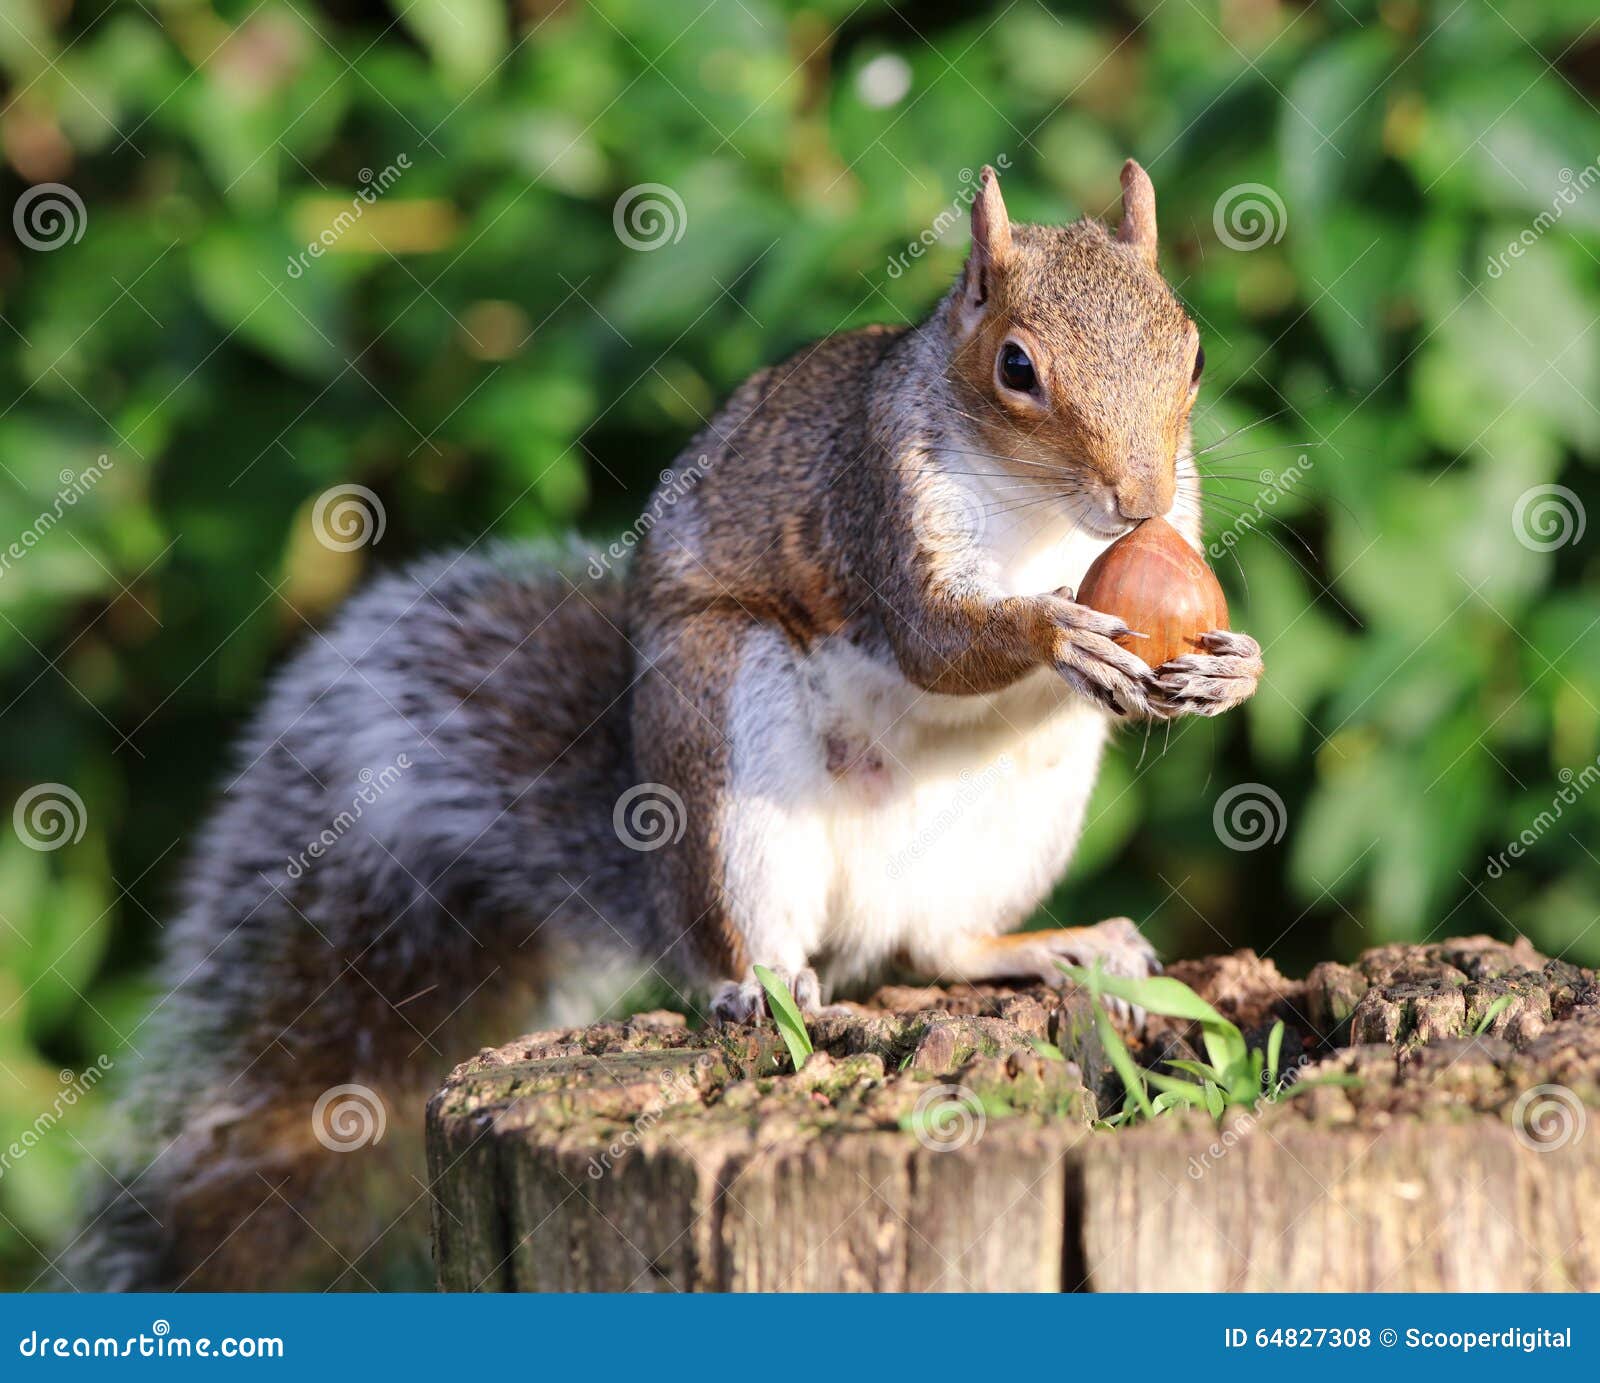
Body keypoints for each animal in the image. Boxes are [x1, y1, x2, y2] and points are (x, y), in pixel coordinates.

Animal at [70, 161, 1261, 1290]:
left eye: (1197, 353)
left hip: (1022, 816)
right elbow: (935, 641)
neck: (1041, 516)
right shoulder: (881, 505)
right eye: (1016, 367)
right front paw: (1056, 632)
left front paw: (1230, 667)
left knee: (938, 941)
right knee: (751, 942)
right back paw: (762, 981)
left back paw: (1059, 944)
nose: (1140, 503)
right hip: (725, 740)